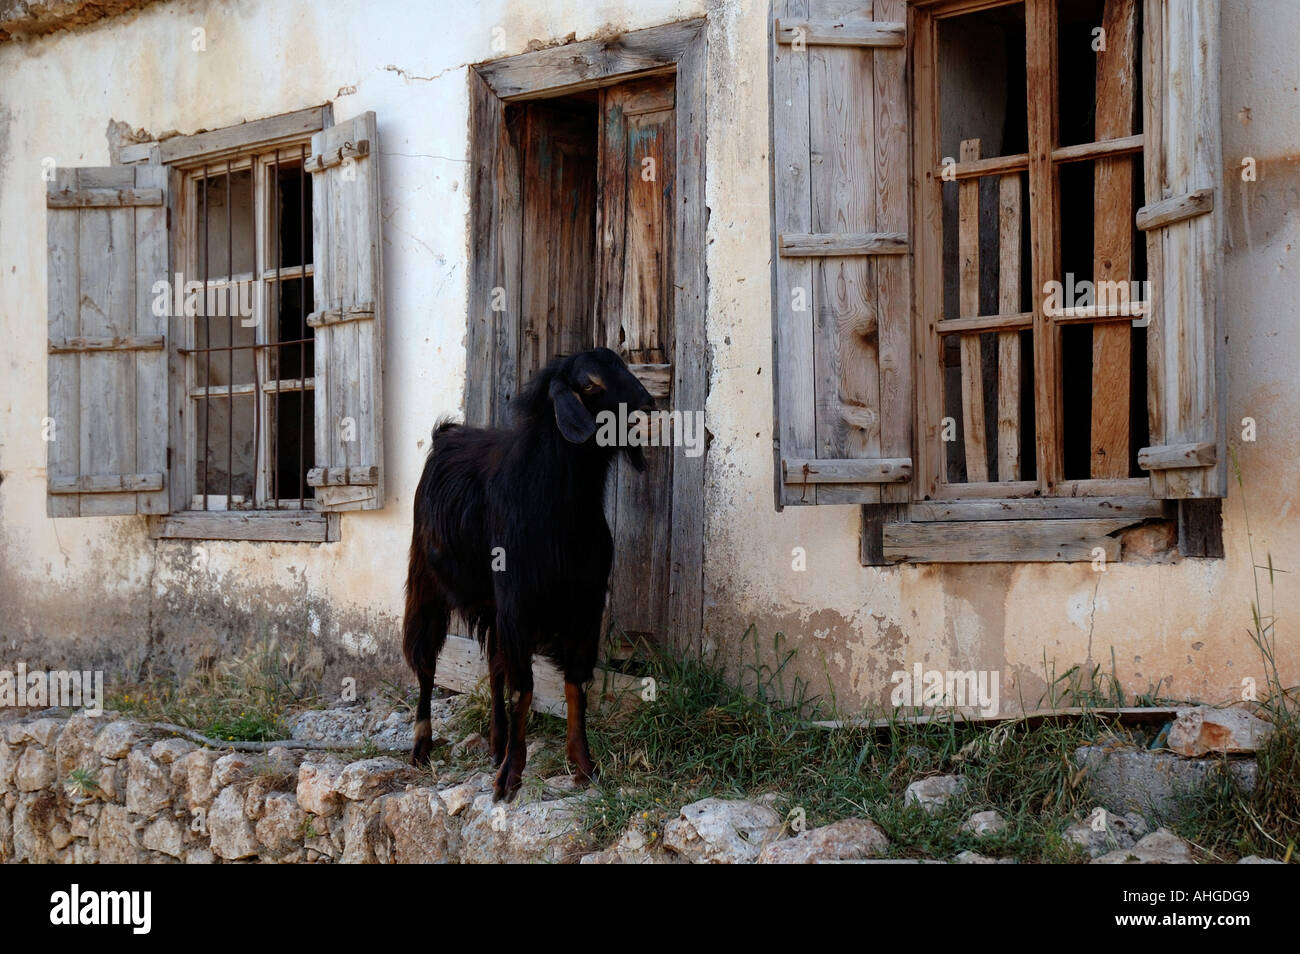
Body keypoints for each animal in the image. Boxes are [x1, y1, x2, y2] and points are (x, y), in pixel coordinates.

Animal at [403, 348, 655, 801]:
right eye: (589, 384)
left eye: (624, 366)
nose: (648, 404)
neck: (560, 505)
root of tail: (445, 436)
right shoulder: (519, 601)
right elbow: (526, 687)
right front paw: (509, 777)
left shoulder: (586, 605)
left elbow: (574, 684)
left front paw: (584, 766)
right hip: (426, 581)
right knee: (426, 657)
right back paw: (422, 746)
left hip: (492, 601)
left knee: (494, 664)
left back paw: (496, 741)